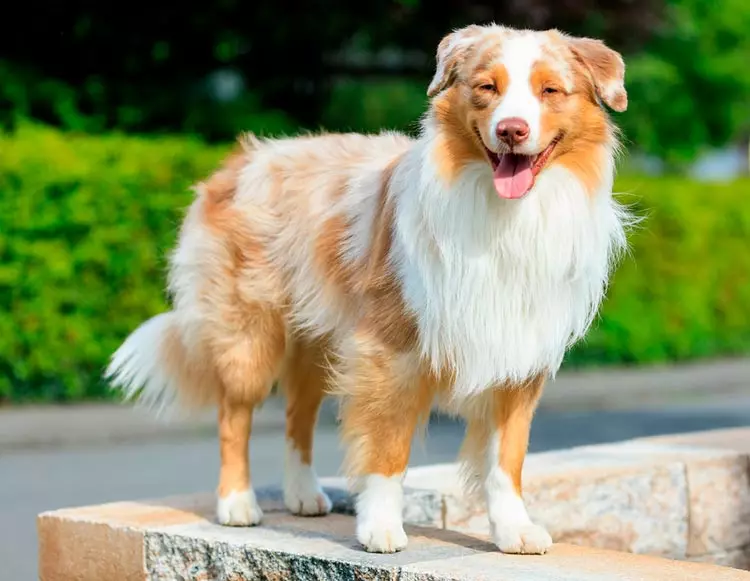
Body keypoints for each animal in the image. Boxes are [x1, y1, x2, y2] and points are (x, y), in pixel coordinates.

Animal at [107, 24, 636, 556]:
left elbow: (508, 458)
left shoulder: (520, 352)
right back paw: (237, 503)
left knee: (298, 415)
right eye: (488, 87)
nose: (511, 130)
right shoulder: (391, 349)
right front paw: (380, 527)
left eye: (550, 91)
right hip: (249, 337)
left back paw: (303, 495)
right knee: (234, 415)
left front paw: (514, 529)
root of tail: (242, 157)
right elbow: (387, 446)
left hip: (317, 343)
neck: (503, 214)